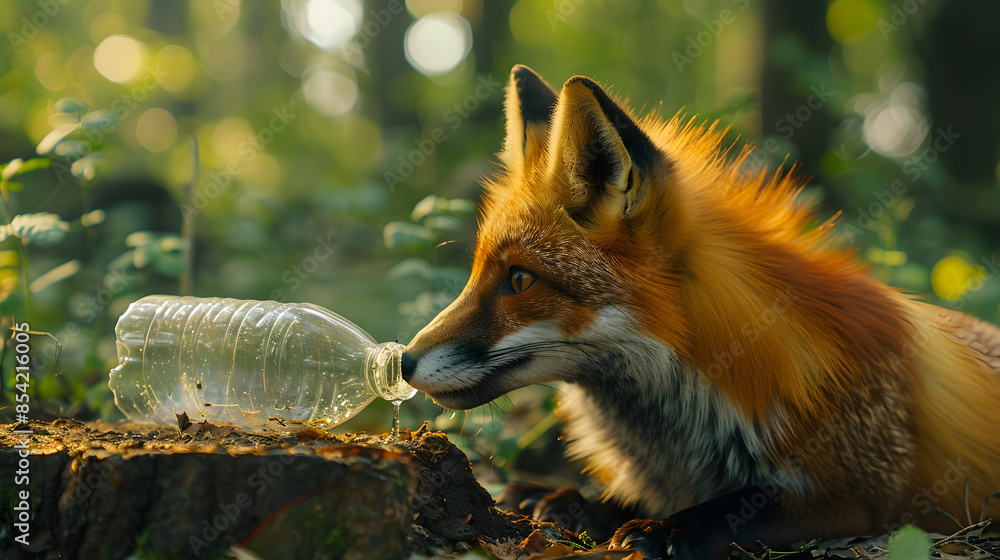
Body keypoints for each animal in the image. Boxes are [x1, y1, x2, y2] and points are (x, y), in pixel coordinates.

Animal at [399, 65, 1000, 559]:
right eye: (478, 271)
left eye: (520, 279)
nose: (403, 361)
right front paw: (574, 501)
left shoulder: (864, 495)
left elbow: (731, 510)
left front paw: (668, 531)